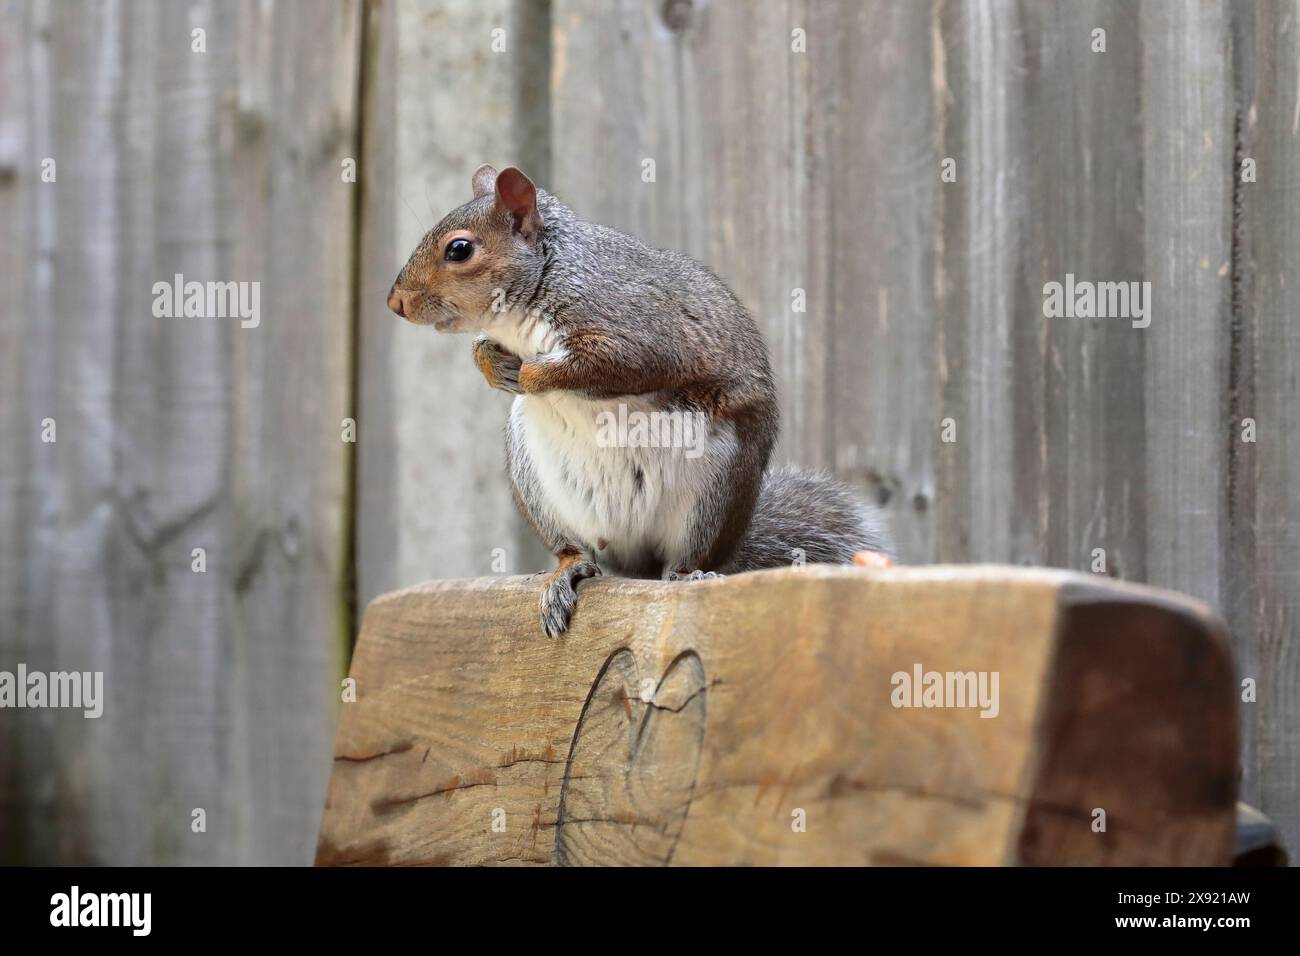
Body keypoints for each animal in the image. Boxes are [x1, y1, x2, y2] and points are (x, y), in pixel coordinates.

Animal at [387, 164, 892, 637]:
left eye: (459, 249)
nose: (396, 304)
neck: (547, 277)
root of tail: (637, 561)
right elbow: (485, 349)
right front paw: (496, 367)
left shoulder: (633, 328)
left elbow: (612, 365)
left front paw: (531, 373)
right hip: (537, 484)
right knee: (574, 550)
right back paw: (568, 572)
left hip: (713, 490)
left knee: (687, 558)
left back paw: (687, 577)